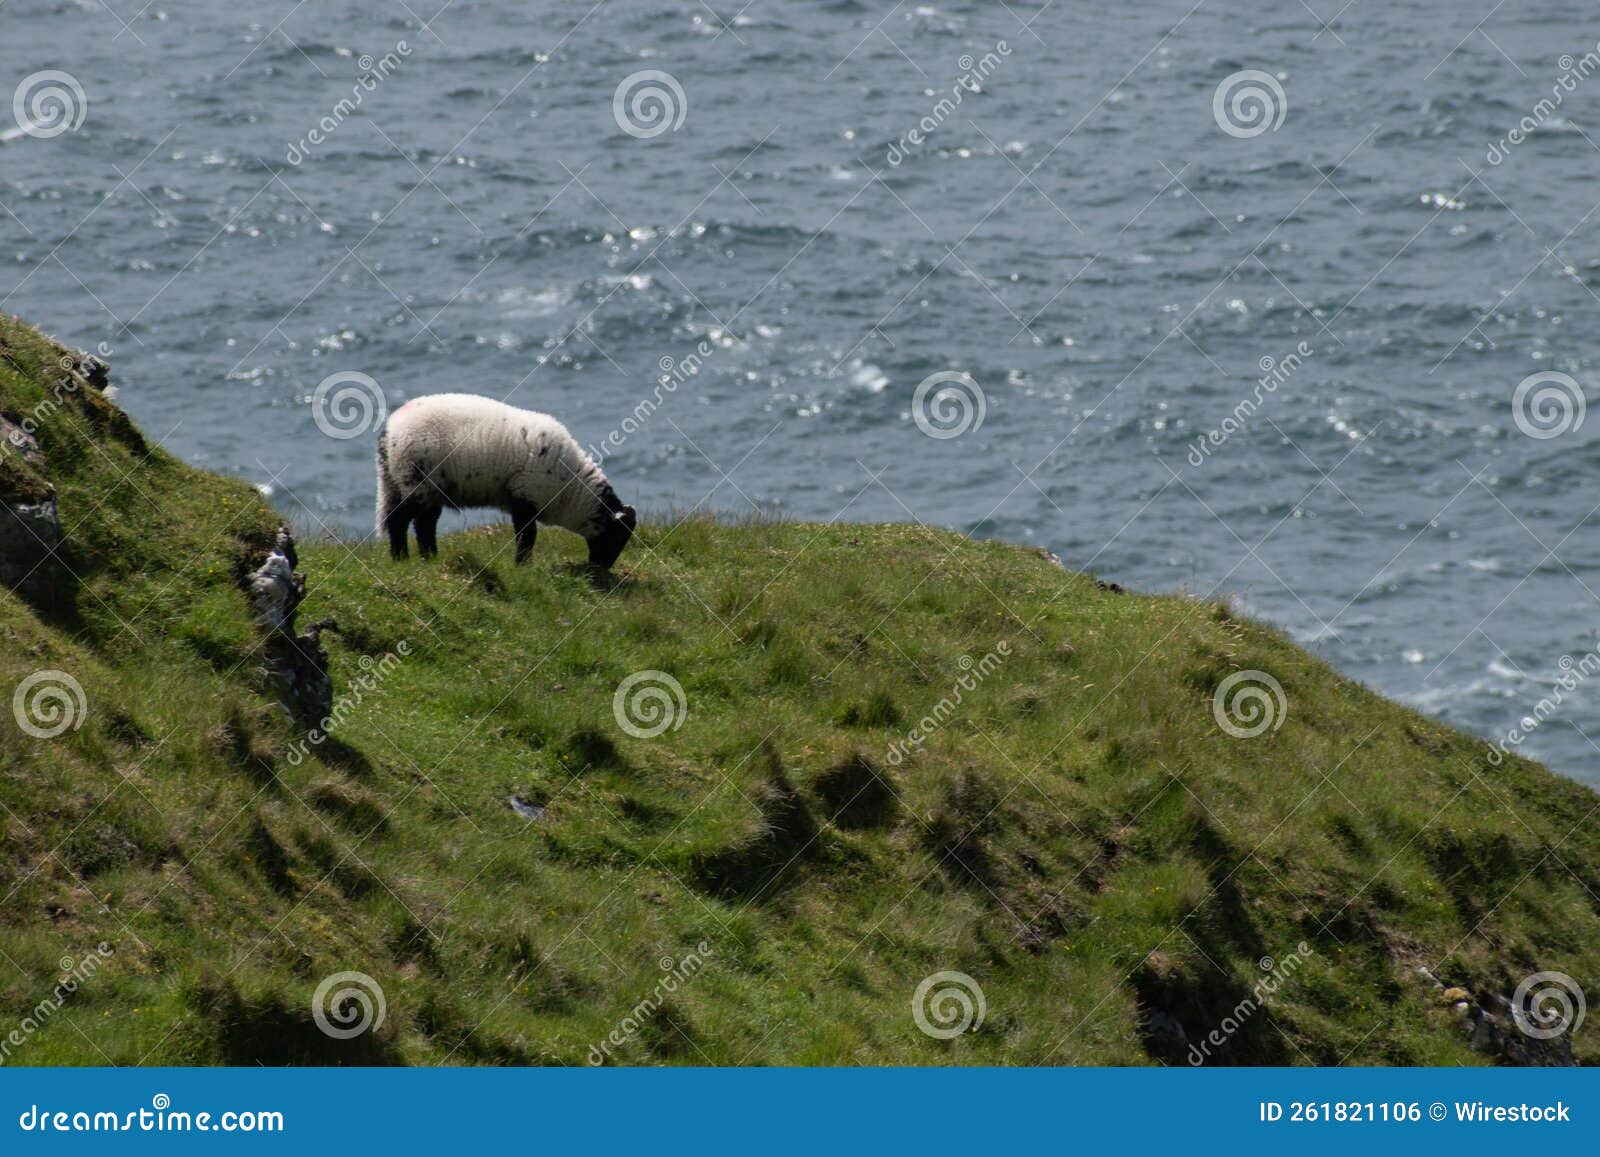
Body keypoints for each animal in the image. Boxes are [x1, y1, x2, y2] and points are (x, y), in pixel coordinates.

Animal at [376, 393, 637, 569]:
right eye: (616, 535)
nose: (602, 568)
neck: (570, 488)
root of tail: (390, 431)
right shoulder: (525, 496)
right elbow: (527, 536)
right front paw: (523, 566)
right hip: (417, 481)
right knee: (400, 520)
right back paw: (401, 559)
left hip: (413, 485)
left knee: (423, 524)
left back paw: (428, 558)